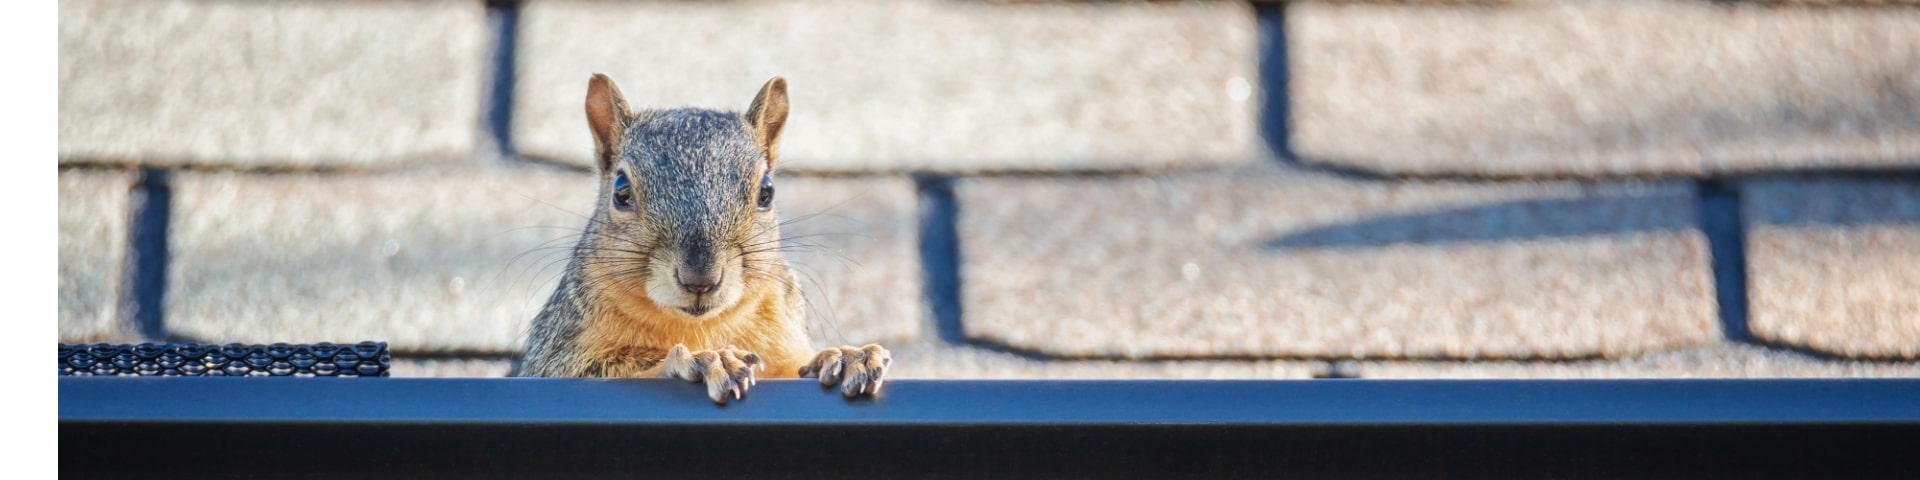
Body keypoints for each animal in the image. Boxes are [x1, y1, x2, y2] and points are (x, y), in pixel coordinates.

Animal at [514, 74, 890, 404]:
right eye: (621, 191)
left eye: (767, 191)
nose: (700, 279)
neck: (701, 325)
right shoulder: (557, 357)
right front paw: (702, 360)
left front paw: (843, 357)